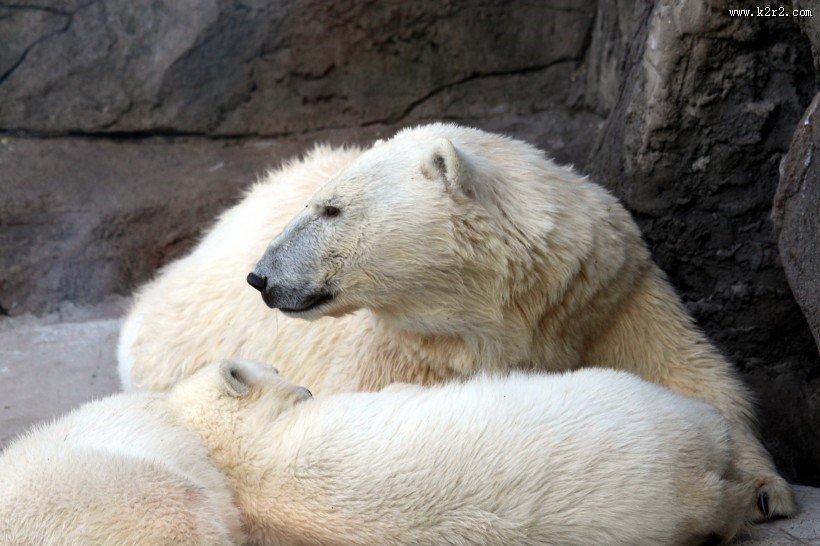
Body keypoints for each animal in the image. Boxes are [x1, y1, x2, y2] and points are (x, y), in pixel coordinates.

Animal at [118, 123, 794, 520]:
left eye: (331, 209)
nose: (261, 277)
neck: (513, 308)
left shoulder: (606, 294)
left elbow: (690, 374)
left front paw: (767, 490)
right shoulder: (409, 346)